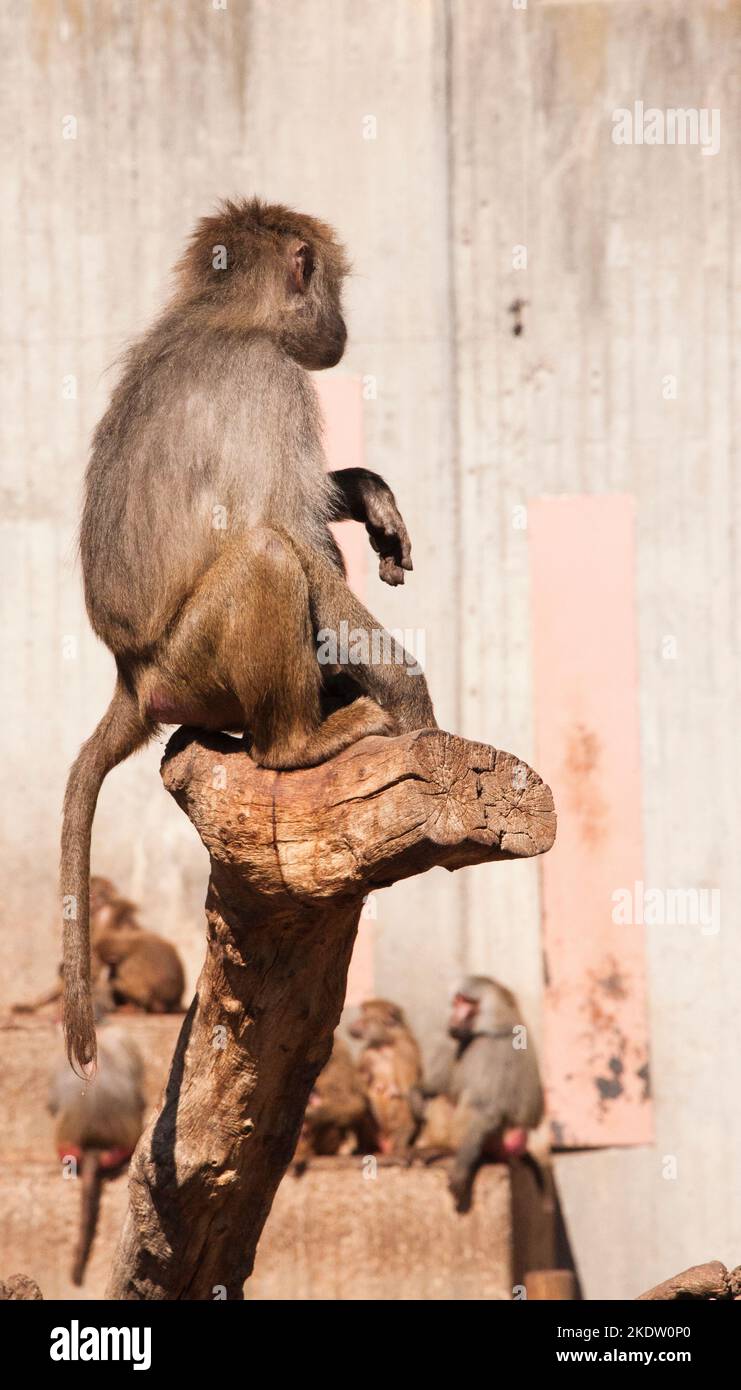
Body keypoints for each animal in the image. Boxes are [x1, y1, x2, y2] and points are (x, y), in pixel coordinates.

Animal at [61, 197, 437, 1074]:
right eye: (331, 283)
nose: (341, 325)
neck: (223, 318)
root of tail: (129, 677)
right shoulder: (276, 384)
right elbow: (286, 530)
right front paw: (412, 699)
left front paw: (364, 493)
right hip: (193, 667)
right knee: (267, 555)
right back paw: (300, 741)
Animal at [349, 999, 423, 1155]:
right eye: (363, 1013)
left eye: (366, 1016)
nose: (352, 1025)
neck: (385, 1044)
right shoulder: (367, 1054)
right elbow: (361, 1084)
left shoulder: (406, 1051)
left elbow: (409, 1090)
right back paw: (362, 1149)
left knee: (405, 1107)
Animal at [415, 975, 544, 1213]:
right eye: (458, 1001)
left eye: (468, 1004)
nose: (453, 1021)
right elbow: (445, 1085)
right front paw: (417, 1091)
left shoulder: (488, 1049)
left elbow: (484, 1109)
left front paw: (461, 1166)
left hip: (496, 1141)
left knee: (456, 1104)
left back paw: (444, 1150)